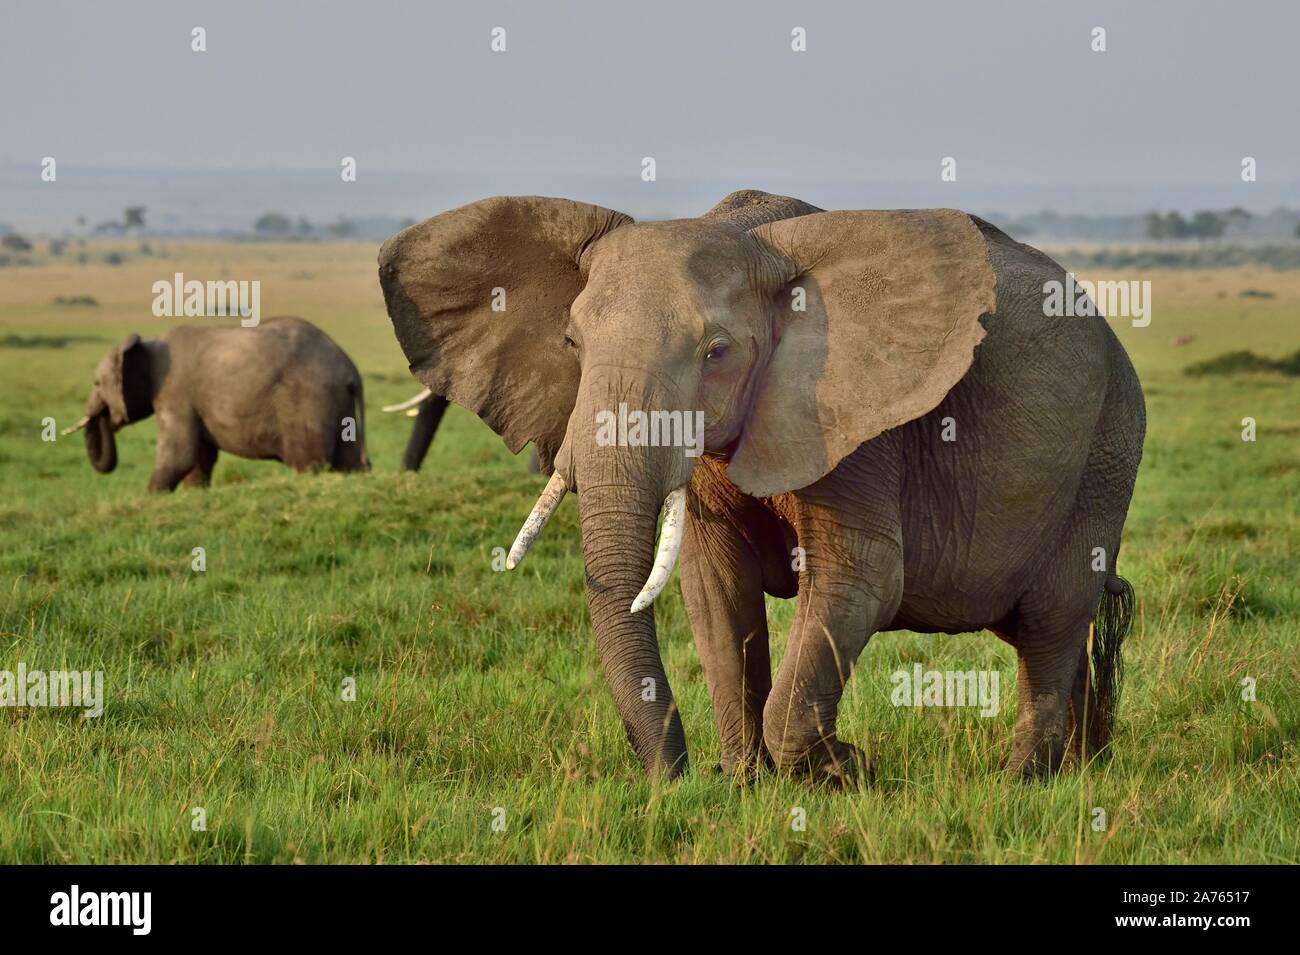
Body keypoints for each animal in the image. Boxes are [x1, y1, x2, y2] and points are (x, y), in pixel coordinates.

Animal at [65, 316, 369, 491]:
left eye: (96, 383)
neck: (147, 346)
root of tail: (350, 370)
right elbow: (200, 455)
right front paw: (194, 494)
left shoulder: (175, 391)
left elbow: (180, 452)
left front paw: (154, 495)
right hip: (339, 408)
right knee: (349, 462)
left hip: (309, 402)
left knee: (307, 463)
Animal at [378, 189, 1145, 785]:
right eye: (572, 344)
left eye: (716, 353)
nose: (674, 777)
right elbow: (716, 590)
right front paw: (747, 784)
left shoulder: (854, 426)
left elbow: (862, 577)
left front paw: (846, 770)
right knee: (1048, 626)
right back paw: (1083, 768)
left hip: (1108, 449)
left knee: (1051, 619)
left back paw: (1026, 782)